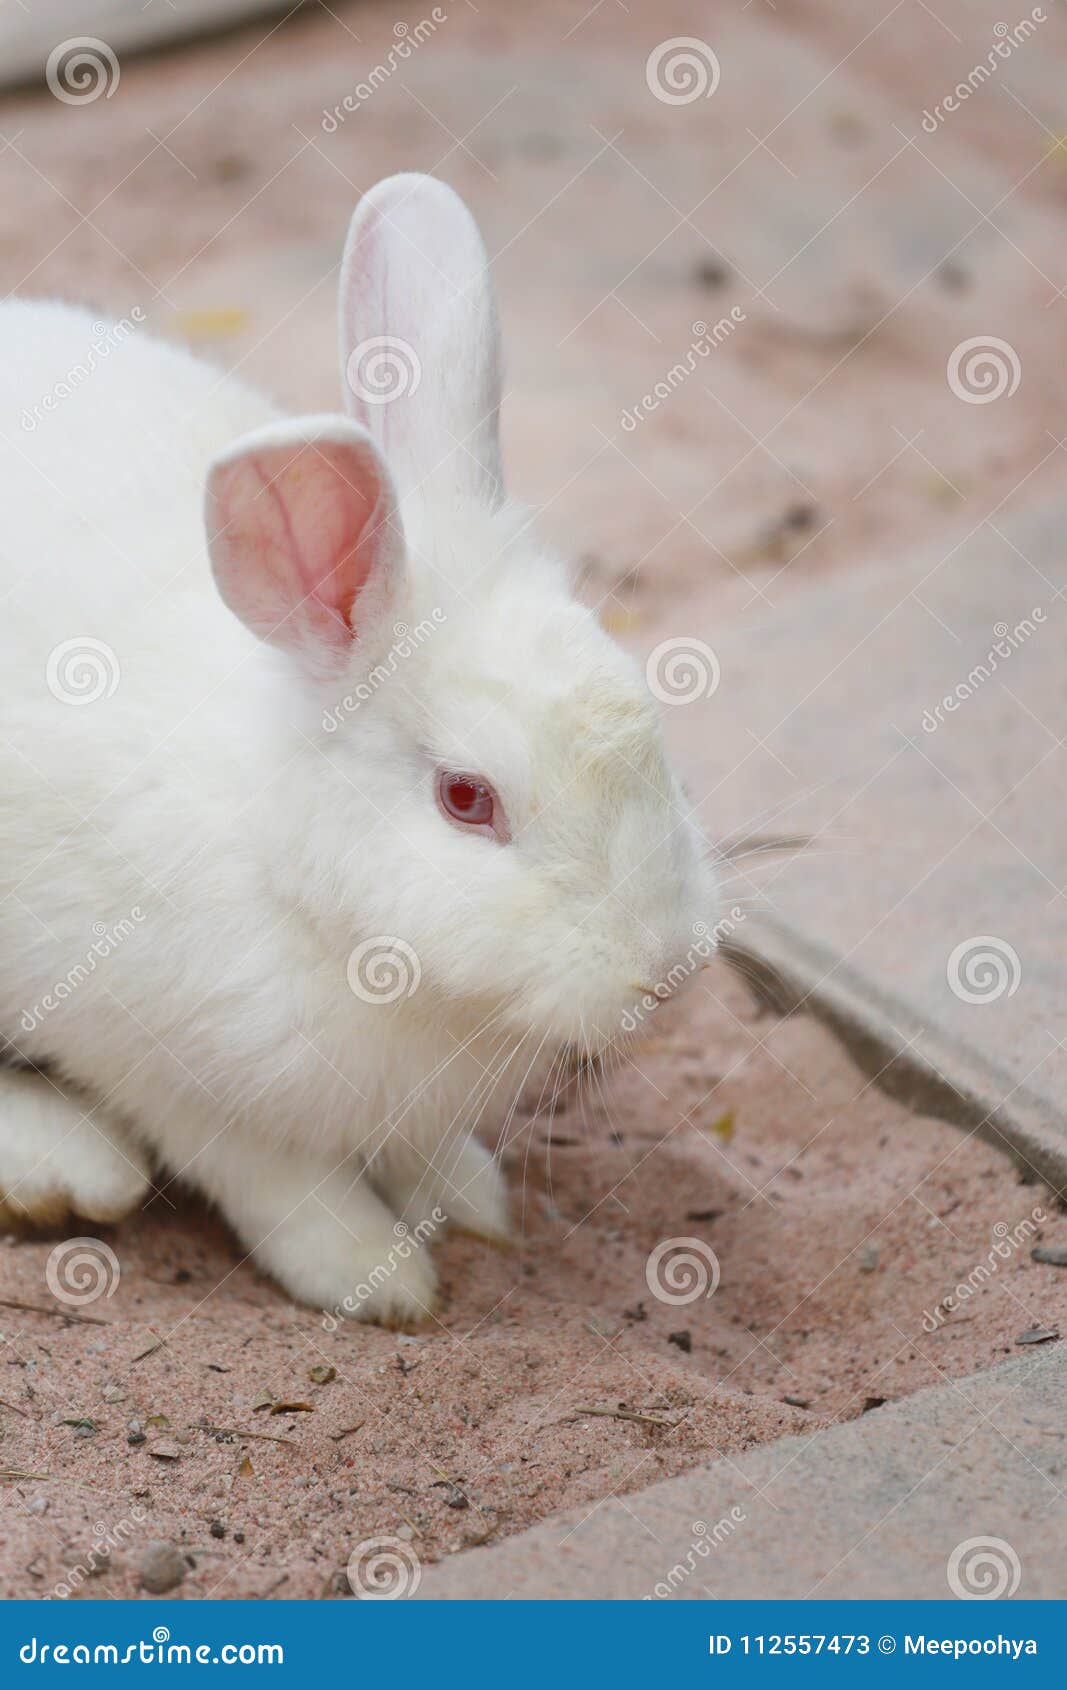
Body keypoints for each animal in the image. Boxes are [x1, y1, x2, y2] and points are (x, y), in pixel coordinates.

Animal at [0, 173, 718, 1326]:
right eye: (466, 798)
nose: (665, 970)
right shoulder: (162, 1068)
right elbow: (274, 1178)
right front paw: (377, 1277)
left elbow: (423, 1151)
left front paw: (472, 1202)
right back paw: (65, 1165)